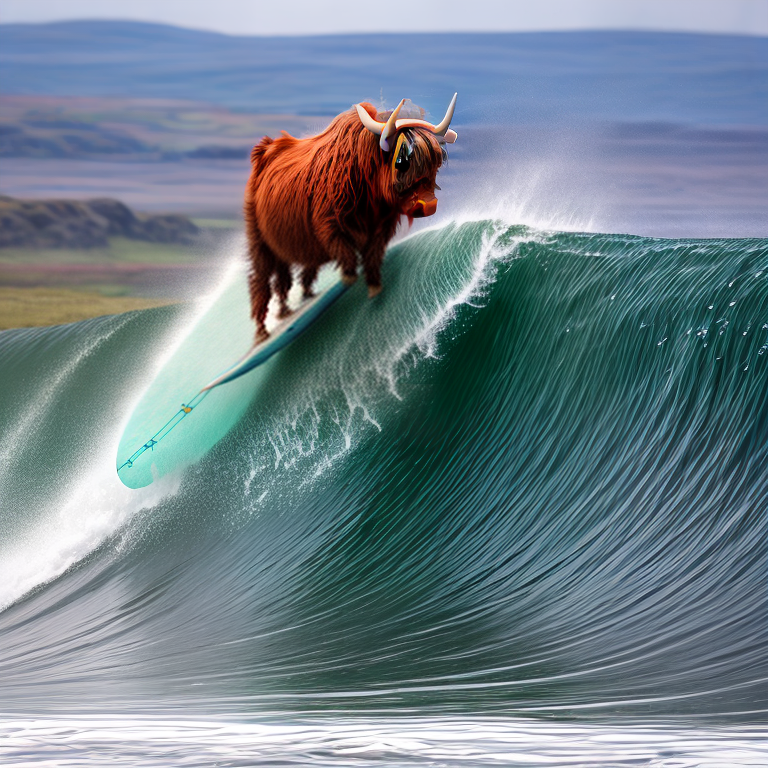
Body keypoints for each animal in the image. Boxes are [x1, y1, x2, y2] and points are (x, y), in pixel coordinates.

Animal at [244, 94, 458, 342]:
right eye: (402, 161)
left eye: (440, 158)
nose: (429, 205)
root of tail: (267, 148)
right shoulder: (328, 224)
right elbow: (345, 253)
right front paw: (347, 278)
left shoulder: (382, 227)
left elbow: (373, 256)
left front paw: (374, 287)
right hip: (259, 242)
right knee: (261, 281)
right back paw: (263, 332)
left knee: (288, 277)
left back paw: (295, 305)